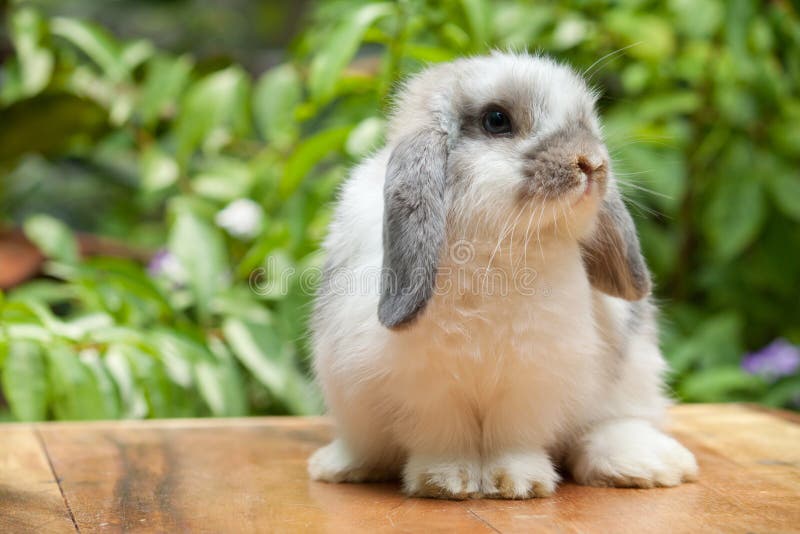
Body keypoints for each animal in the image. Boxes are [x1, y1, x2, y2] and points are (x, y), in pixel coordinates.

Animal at [307, 51, 698, 499]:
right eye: (497, 120)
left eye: (586, 120)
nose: (592, 163)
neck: (495, 246)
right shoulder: (427, 387)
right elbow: (443, 437)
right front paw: (446, 481)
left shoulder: (533, 378)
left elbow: (514, 436)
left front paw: (517, 482)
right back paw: (340, 465)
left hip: (634, 378)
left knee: (612, 426)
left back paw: (646, 464)